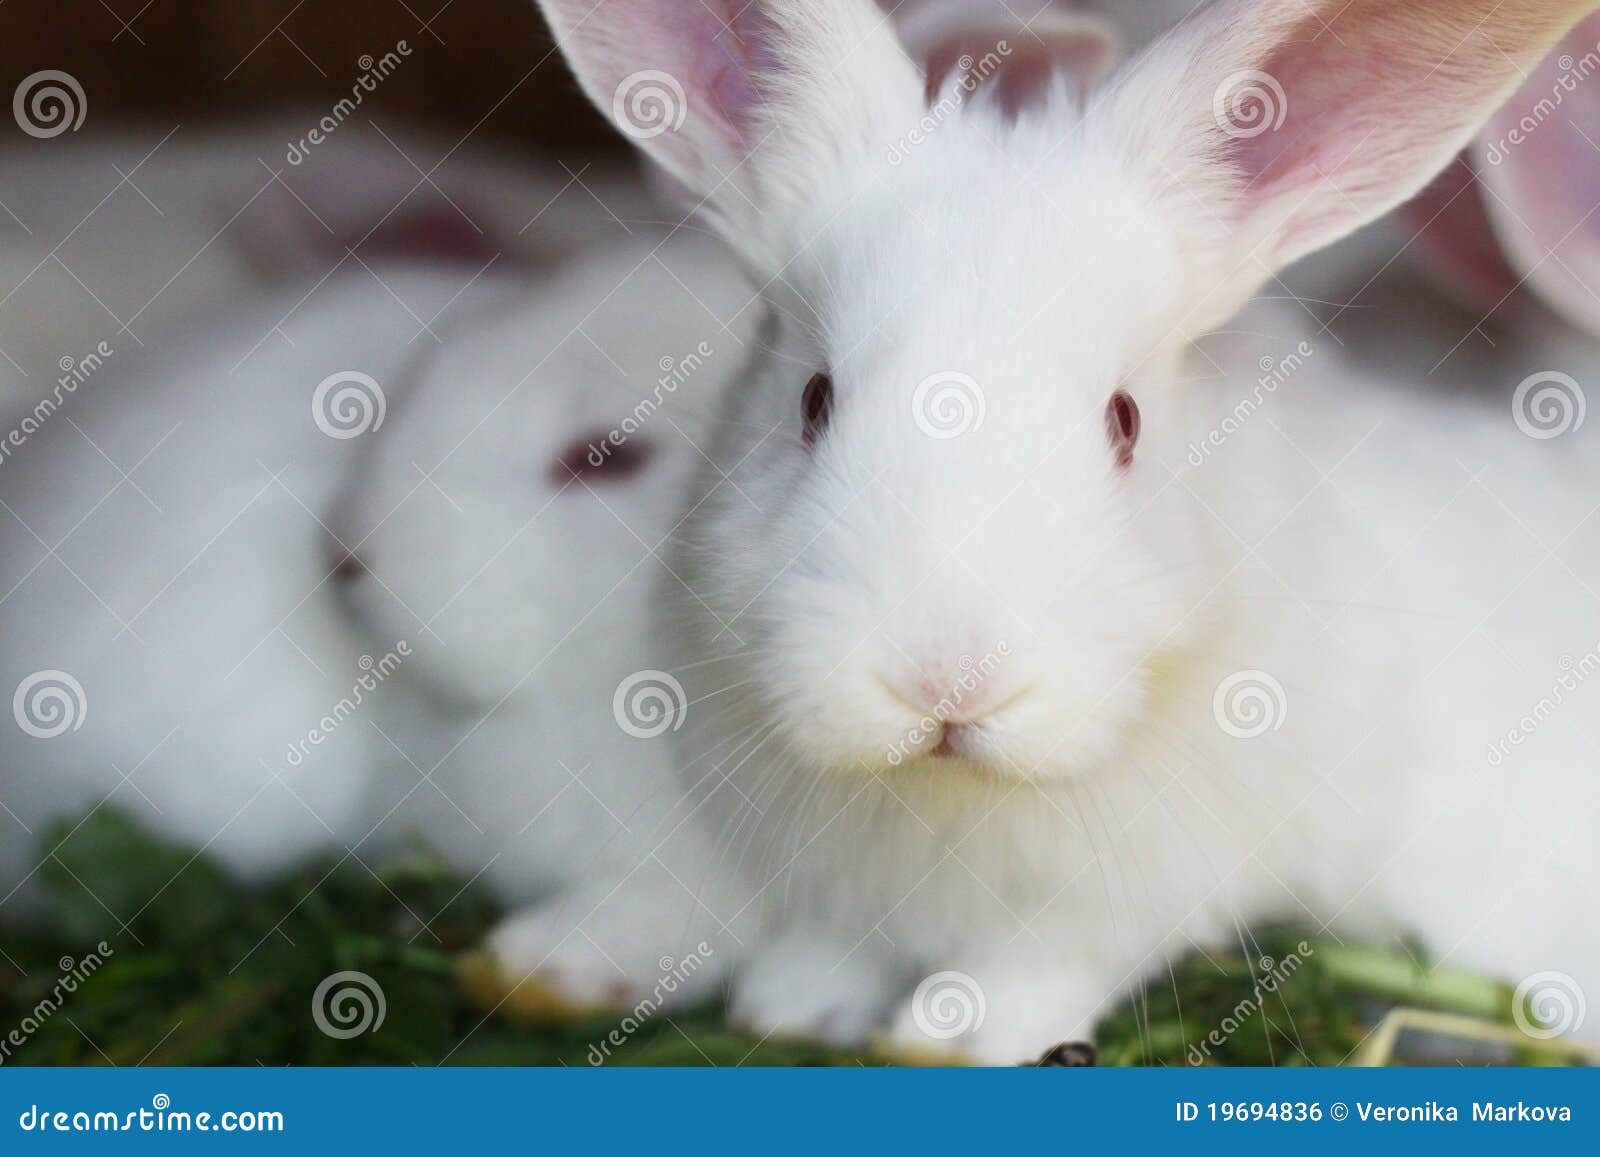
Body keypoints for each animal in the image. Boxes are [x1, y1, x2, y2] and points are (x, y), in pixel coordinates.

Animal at [469, 0, 1600, 1062]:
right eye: (812, 399)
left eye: (1124, 421)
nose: (947, 683)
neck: (949, 792)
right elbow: (832, 945)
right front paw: (793, 1007)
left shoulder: (1126, 895)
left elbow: (1040, 966)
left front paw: (941, 1040)